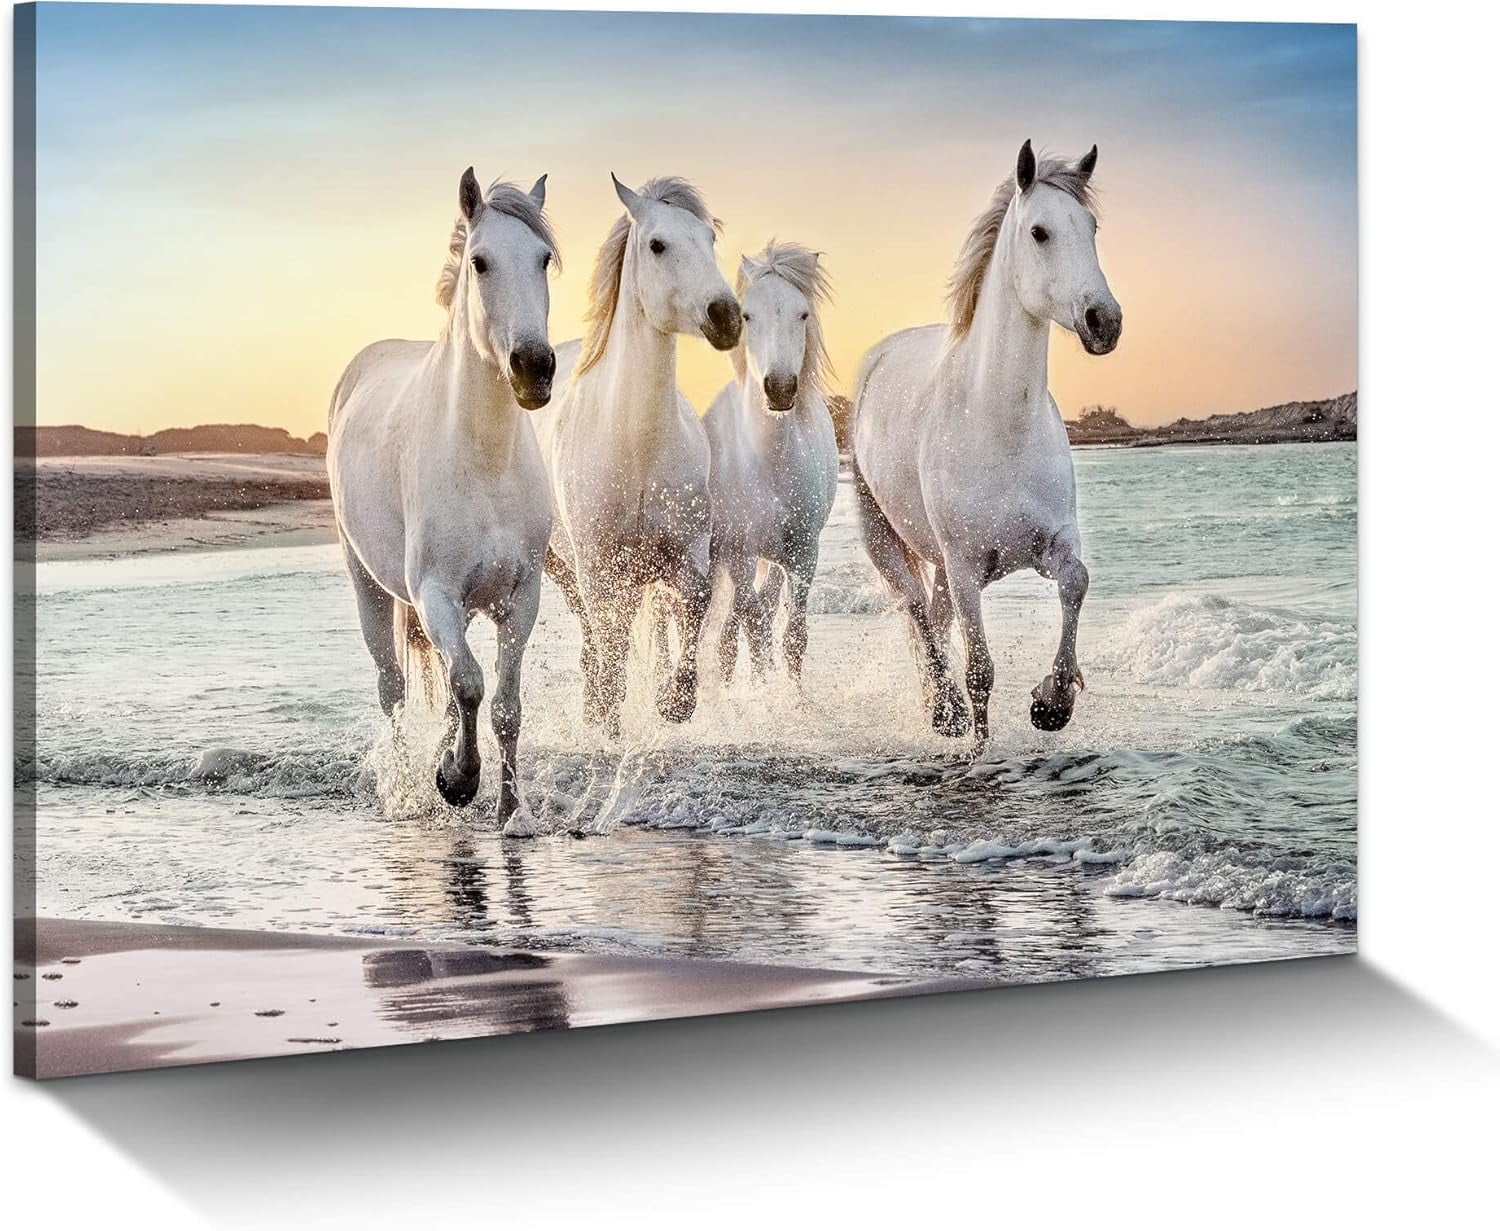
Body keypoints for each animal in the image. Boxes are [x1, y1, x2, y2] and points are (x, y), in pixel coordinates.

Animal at [327, 168, 559, 824]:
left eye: (544, 258)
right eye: (480, 262)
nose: (534, 368)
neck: (482, 460)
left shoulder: (520, 598)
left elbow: (503, 705)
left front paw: (508, 811)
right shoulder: (435, 594)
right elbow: (470, 685)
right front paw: (458, 780)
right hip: (370, 586)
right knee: (394, 689)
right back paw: (408, 784)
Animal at [533, 175, 741, 738]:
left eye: (710, 239)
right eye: (657, 245)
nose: (726, 317)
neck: (636, 448)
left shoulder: (686, 555)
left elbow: (693, 609)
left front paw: (674, 702)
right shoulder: (600, 569)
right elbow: (611, 641)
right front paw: (608, 715)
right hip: (565, 569)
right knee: (595, 636)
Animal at [703, 241, 839, 681]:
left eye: (803, 314)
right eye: (747, 316)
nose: (779, 388)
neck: (771, 461)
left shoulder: (803, 552)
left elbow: (792, 638)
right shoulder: (739, 552)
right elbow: (747, 624)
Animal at [851, 140, 1122, 743]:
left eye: (1092, 226)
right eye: (1040, 232)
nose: (1104, 321)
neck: (1000, 426)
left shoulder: (1051, 544)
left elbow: (1077, 582)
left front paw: (1052, 701)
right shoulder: (966, 566)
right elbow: (980, 670)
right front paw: (978, 740)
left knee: (932, 616)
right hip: (887, 540)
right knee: (916, 611)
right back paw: (943, 708)